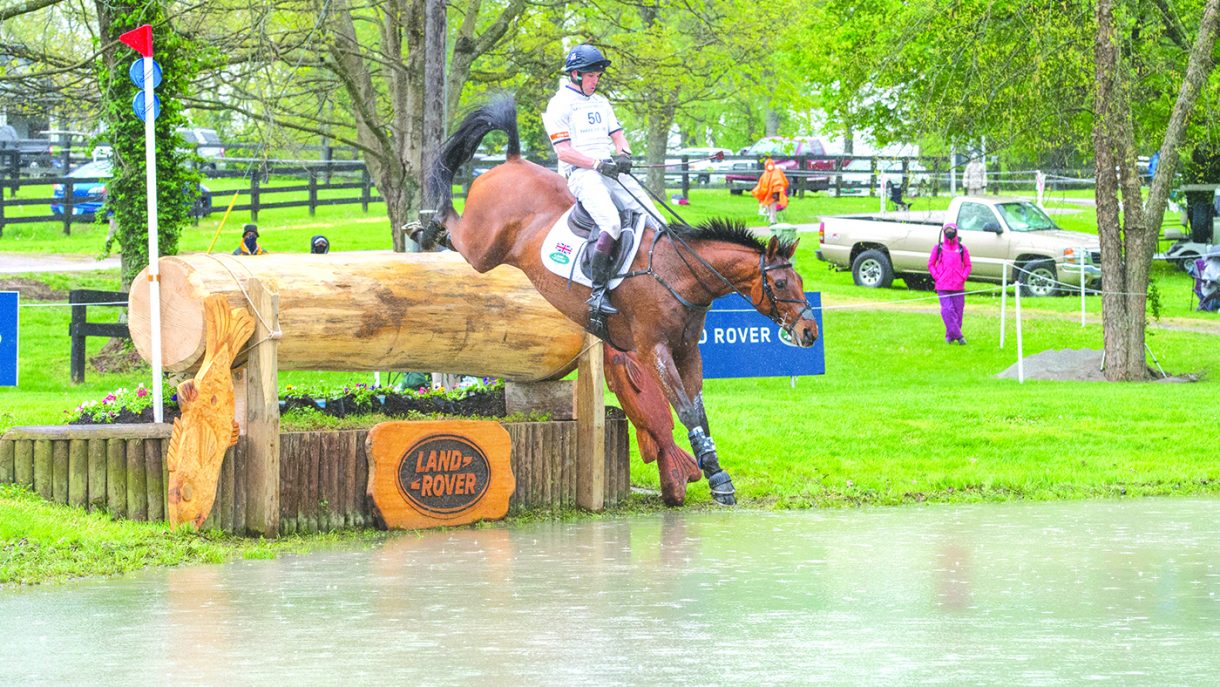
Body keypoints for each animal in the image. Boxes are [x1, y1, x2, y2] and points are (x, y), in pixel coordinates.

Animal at [418, 95, 819, 506]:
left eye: (800, 280)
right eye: (781, 282)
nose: (809, 331)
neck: (679, 273)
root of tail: (513, 160)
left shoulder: (687, 352)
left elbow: (699, 411)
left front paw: (714, 471)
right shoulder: (654, 351)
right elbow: (686, 410)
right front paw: (716, 477)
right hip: (483, 249)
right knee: (455, 228)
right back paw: (425, 226)